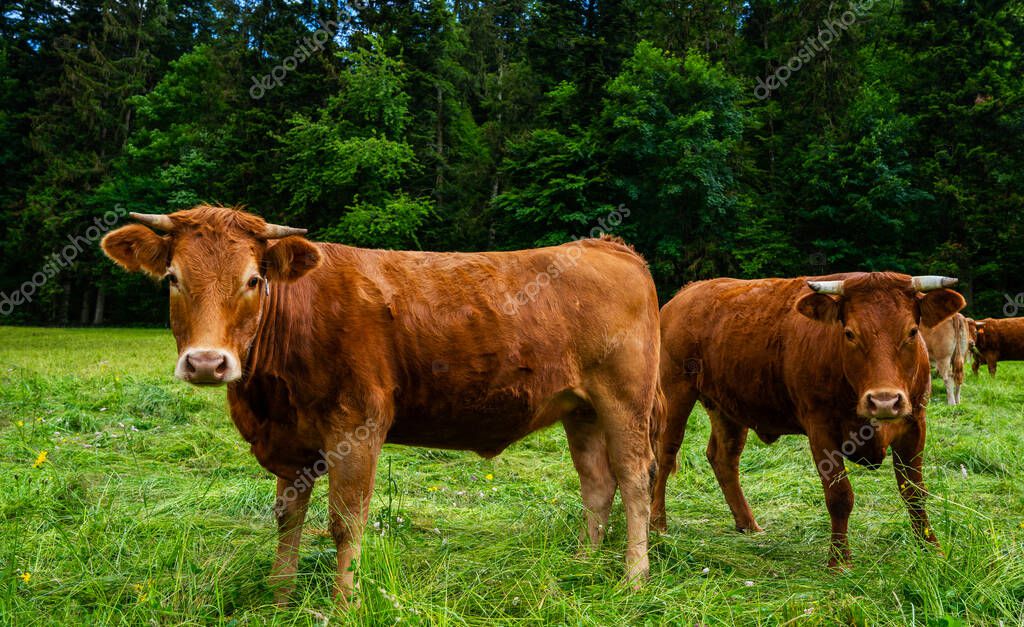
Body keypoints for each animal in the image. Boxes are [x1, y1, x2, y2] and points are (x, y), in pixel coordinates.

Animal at [100, 205, 662, 606]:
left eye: (253, 280)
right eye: (173, 278)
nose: (206, 363)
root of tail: (607, 246)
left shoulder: (357, 428)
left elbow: (346, 522)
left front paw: (342, 604)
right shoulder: (291, 442)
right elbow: (288, 517)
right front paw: (279, 596)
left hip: (625, 400)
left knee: (635, 479)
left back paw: (633, 578)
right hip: (580, 409)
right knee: (597, 484)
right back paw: (584, 564)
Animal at [651, 272, 964, 567]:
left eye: (912, 331)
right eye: (849, 333)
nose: (884, 400)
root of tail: (689, 291)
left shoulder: (914, 425)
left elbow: (914, 492)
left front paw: (931, 549)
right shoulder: (821, 428)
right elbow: (839, 496)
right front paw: (839, 561)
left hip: (727, 406)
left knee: (724, 458)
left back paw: (748, 524)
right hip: (675, 390)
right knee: (666, 454)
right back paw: (657, 522)